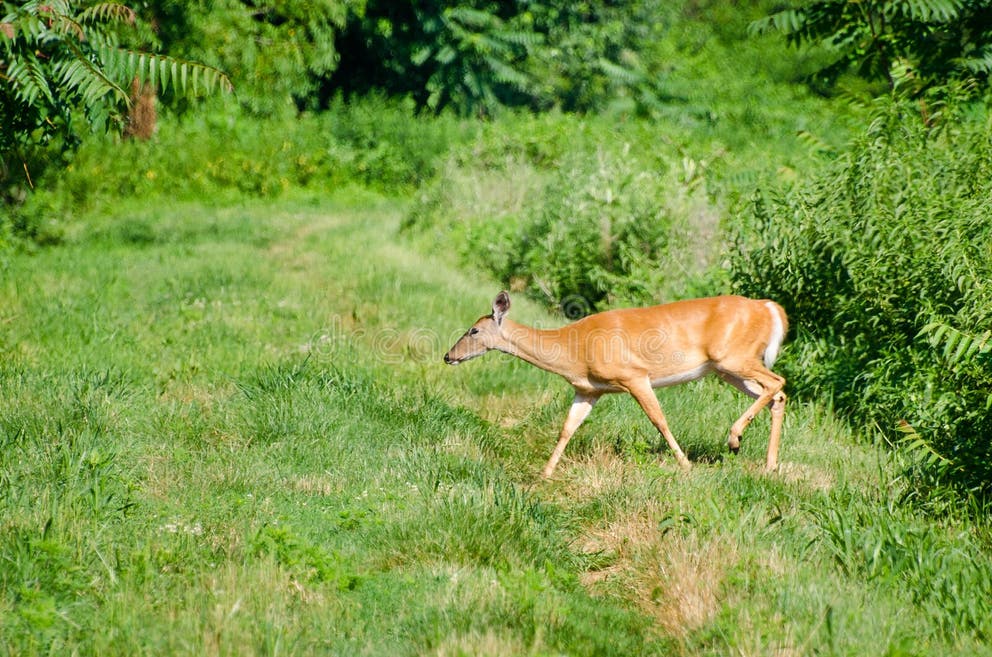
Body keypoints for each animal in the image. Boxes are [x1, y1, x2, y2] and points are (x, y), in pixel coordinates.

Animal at [444, 291, 788, 478]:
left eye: (474, 330)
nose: (448, 356)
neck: (573, 349)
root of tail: (770, 308)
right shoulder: (587, 389)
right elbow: (567, 428)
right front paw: (545, 473)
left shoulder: (633, 374)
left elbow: (659, 420)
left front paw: (685, 465)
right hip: (727, 369)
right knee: (777, 395)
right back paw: (769, 464)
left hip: (734, 357)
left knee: (778, 381)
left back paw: (735, 438)